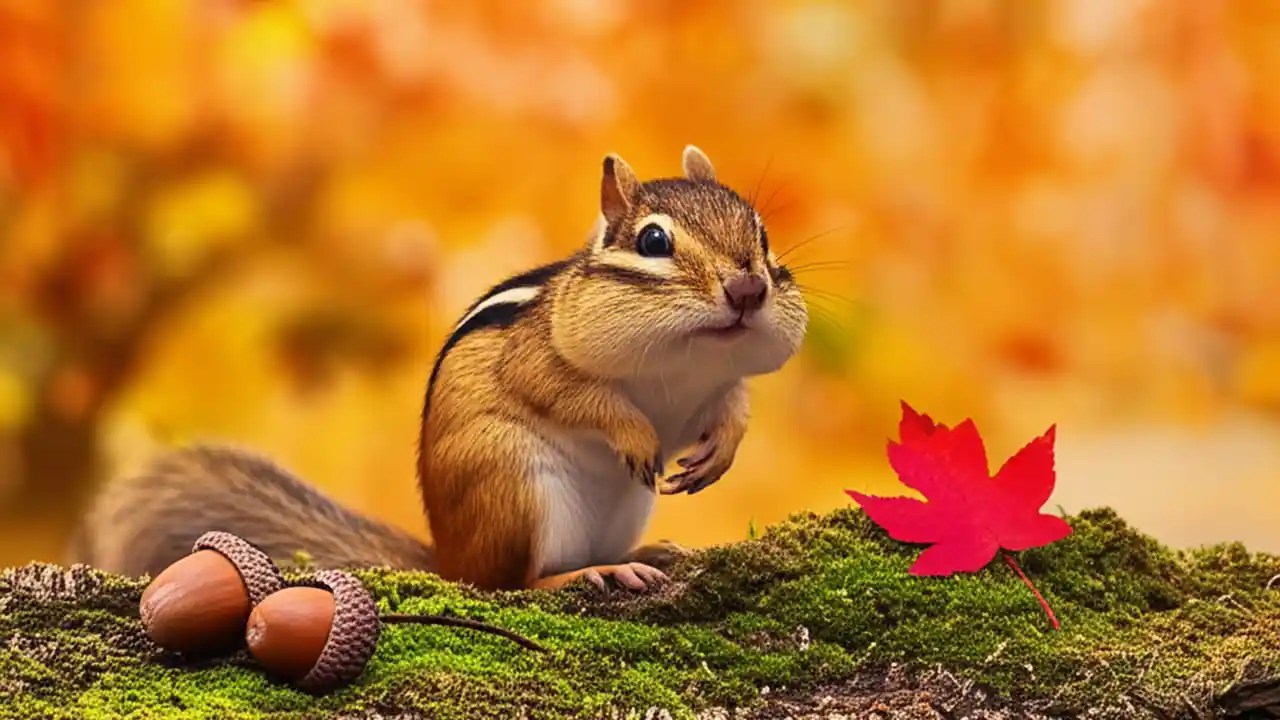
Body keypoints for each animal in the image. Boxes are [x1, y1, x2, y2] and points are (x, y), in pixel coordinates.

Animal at [72, 146, 809, 592]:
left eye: (761, 233)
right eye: (654, 240)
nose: (749, 289)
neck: (689, 359)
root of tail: (448, 558)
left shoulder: (718, 383)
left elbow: (732, 405)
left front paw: (719, 451)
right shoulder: (538, 357)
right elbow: (573, 395)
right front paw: (633, 432)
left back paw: (638, 557)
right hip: (513, 483)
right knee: (510, 584)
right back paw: (579, 577)